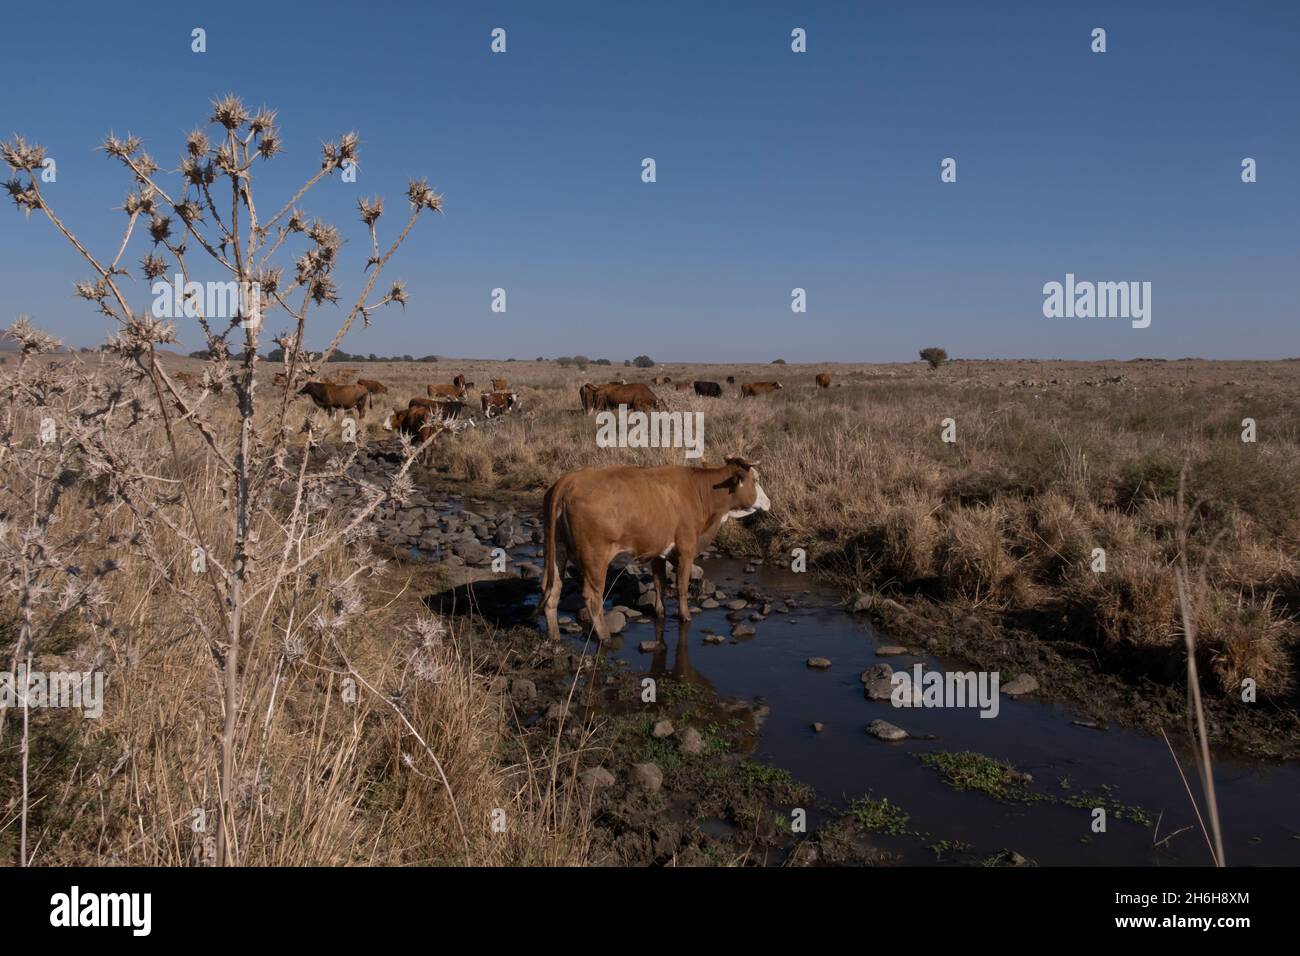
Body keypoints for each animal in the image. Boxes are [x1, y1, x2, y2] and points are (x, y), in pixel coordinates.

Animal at [540, 457, 771, 641]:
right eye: (756, 480)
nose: (768, 502)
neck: (700, 493)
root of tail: (568, 481)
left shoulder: (658, 551)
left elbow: (660, 583)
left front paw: (660, 612)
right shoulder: (686, 549)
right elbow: (681, 587)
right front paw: (685, 616)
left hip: (556, 550)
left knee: (552, 589)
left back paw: (554, 637)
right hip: (594, 557)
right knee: (592, 597)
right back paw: (604, 636)